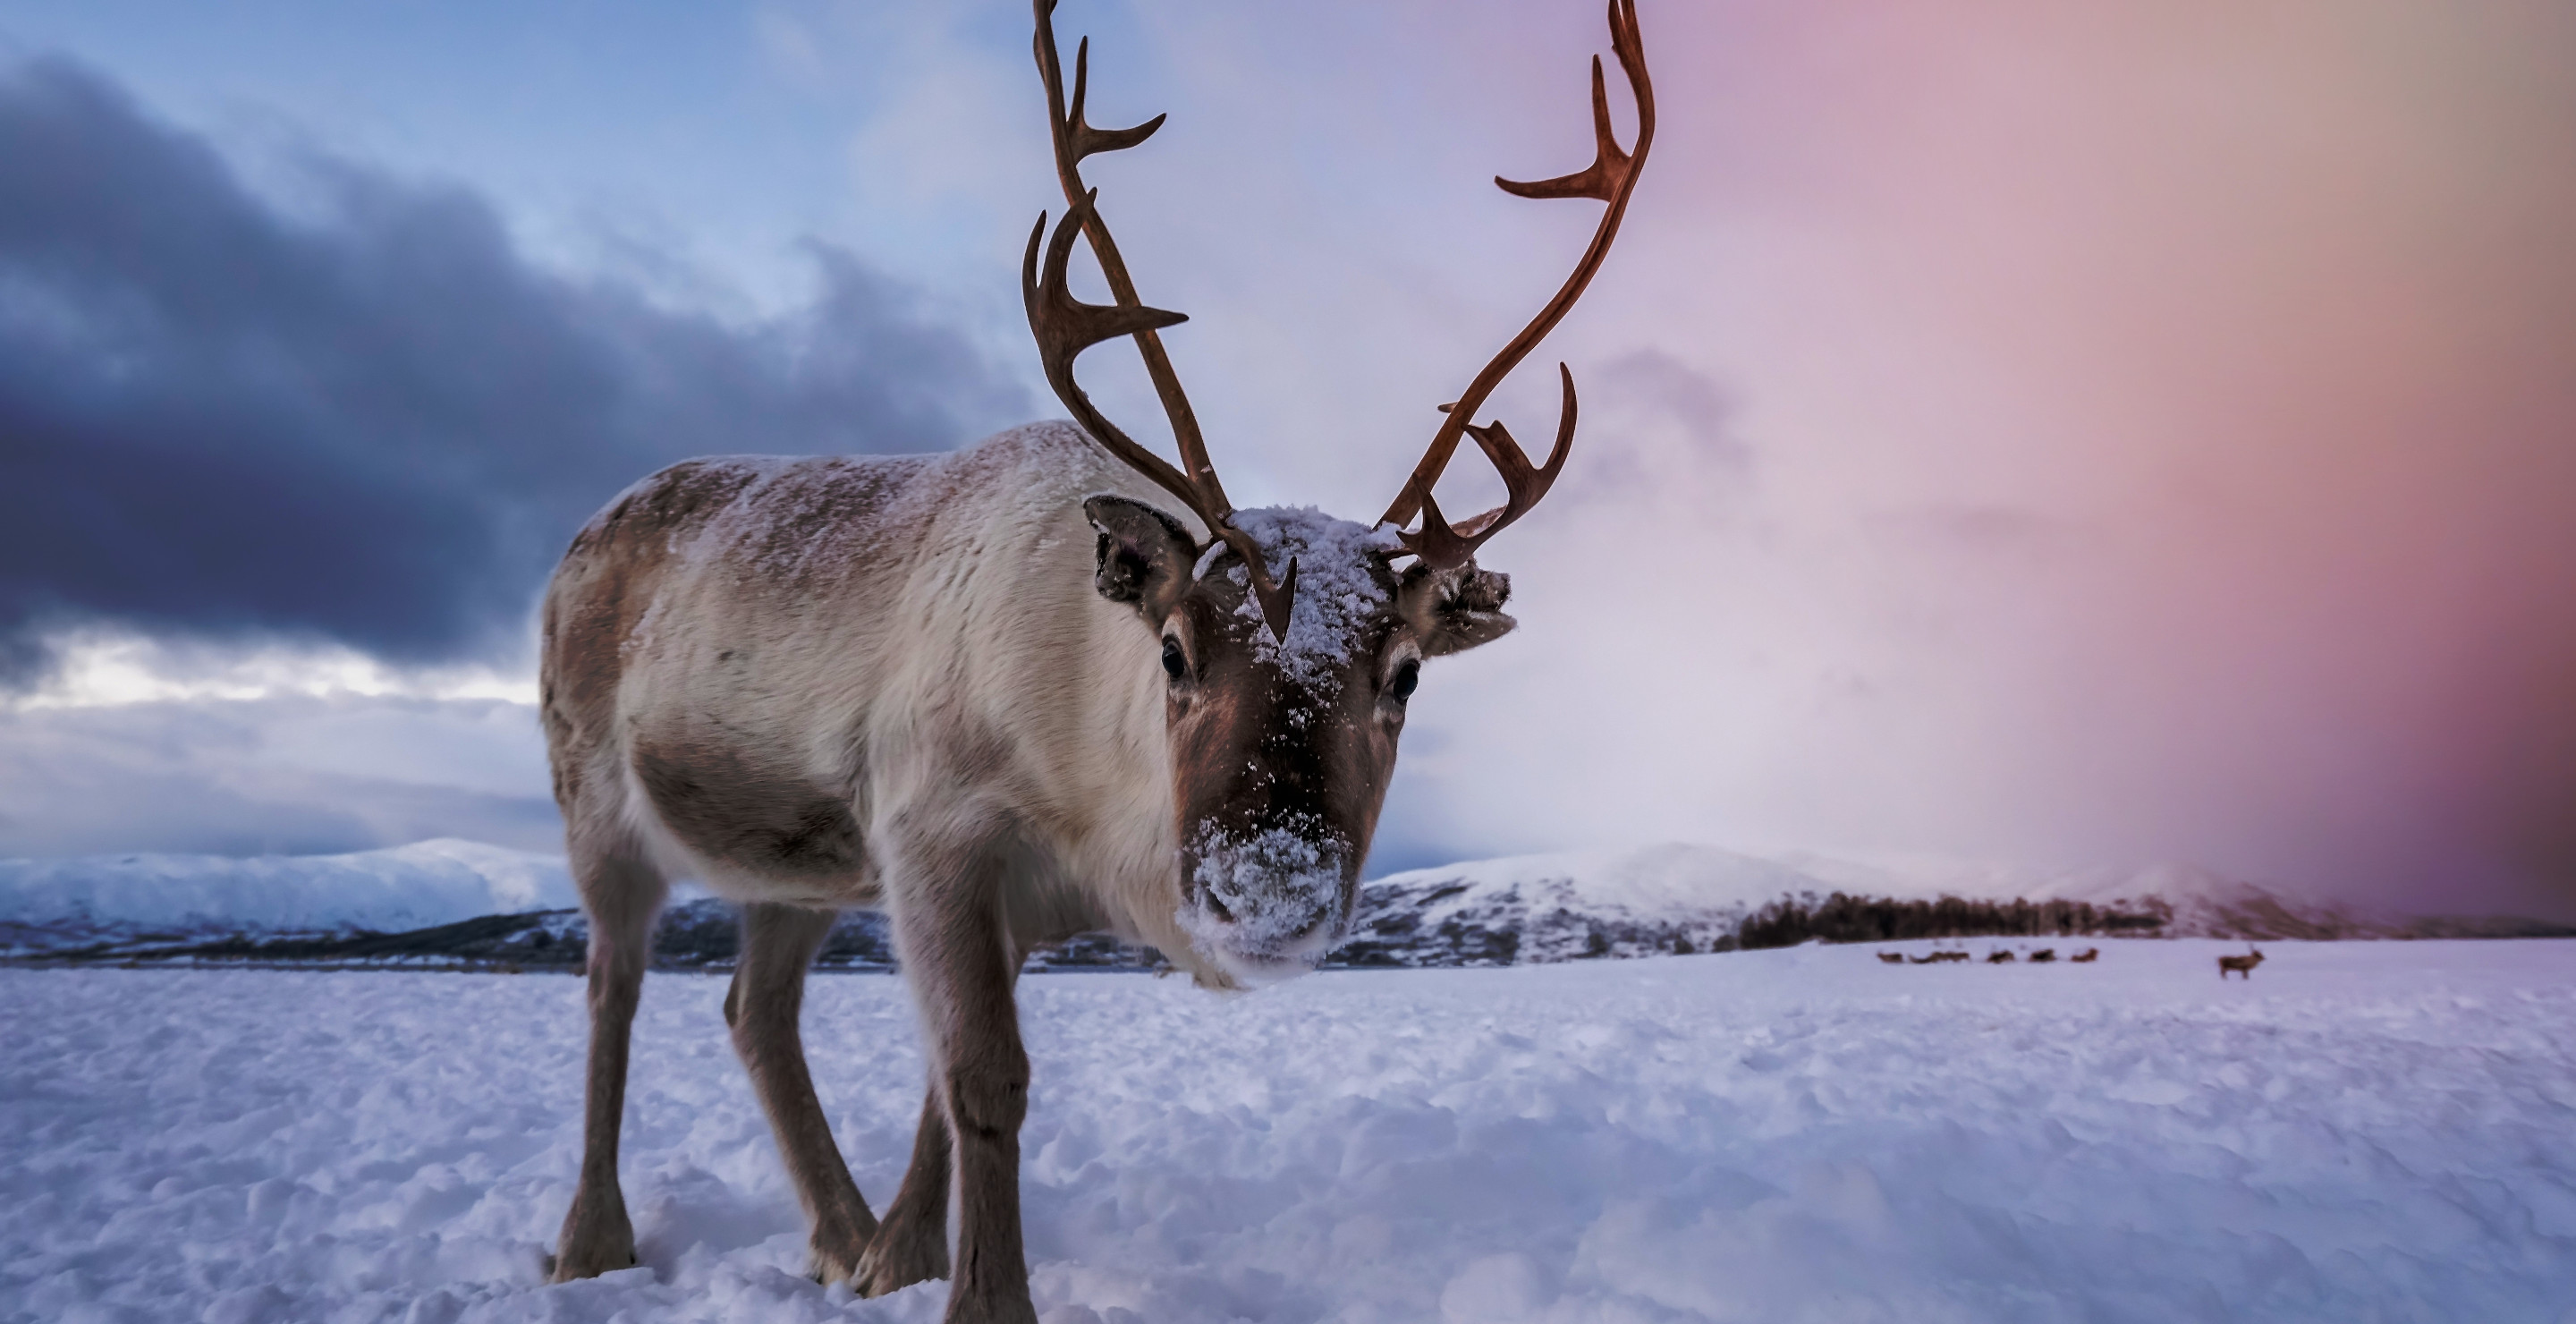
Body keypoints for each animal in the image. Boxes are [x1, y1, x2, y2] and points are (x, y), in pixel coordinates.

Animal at [532, 3, 1654, 1321]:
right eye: (1173, 649)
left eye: (1408, 672)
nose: (1267, 892)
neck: (1086, 803)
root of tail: (588, 529)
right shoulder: (930, 831)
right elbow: (983, 1080)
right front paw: (975, 1294)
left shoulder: (996, 896)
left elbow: (942, 1088)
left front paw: (899, 1261)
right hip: (594, 801)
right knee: (611, 987)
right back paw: (592, 1241)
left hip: (792, 868)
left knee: (754, 1010)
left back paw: (836, 1236)